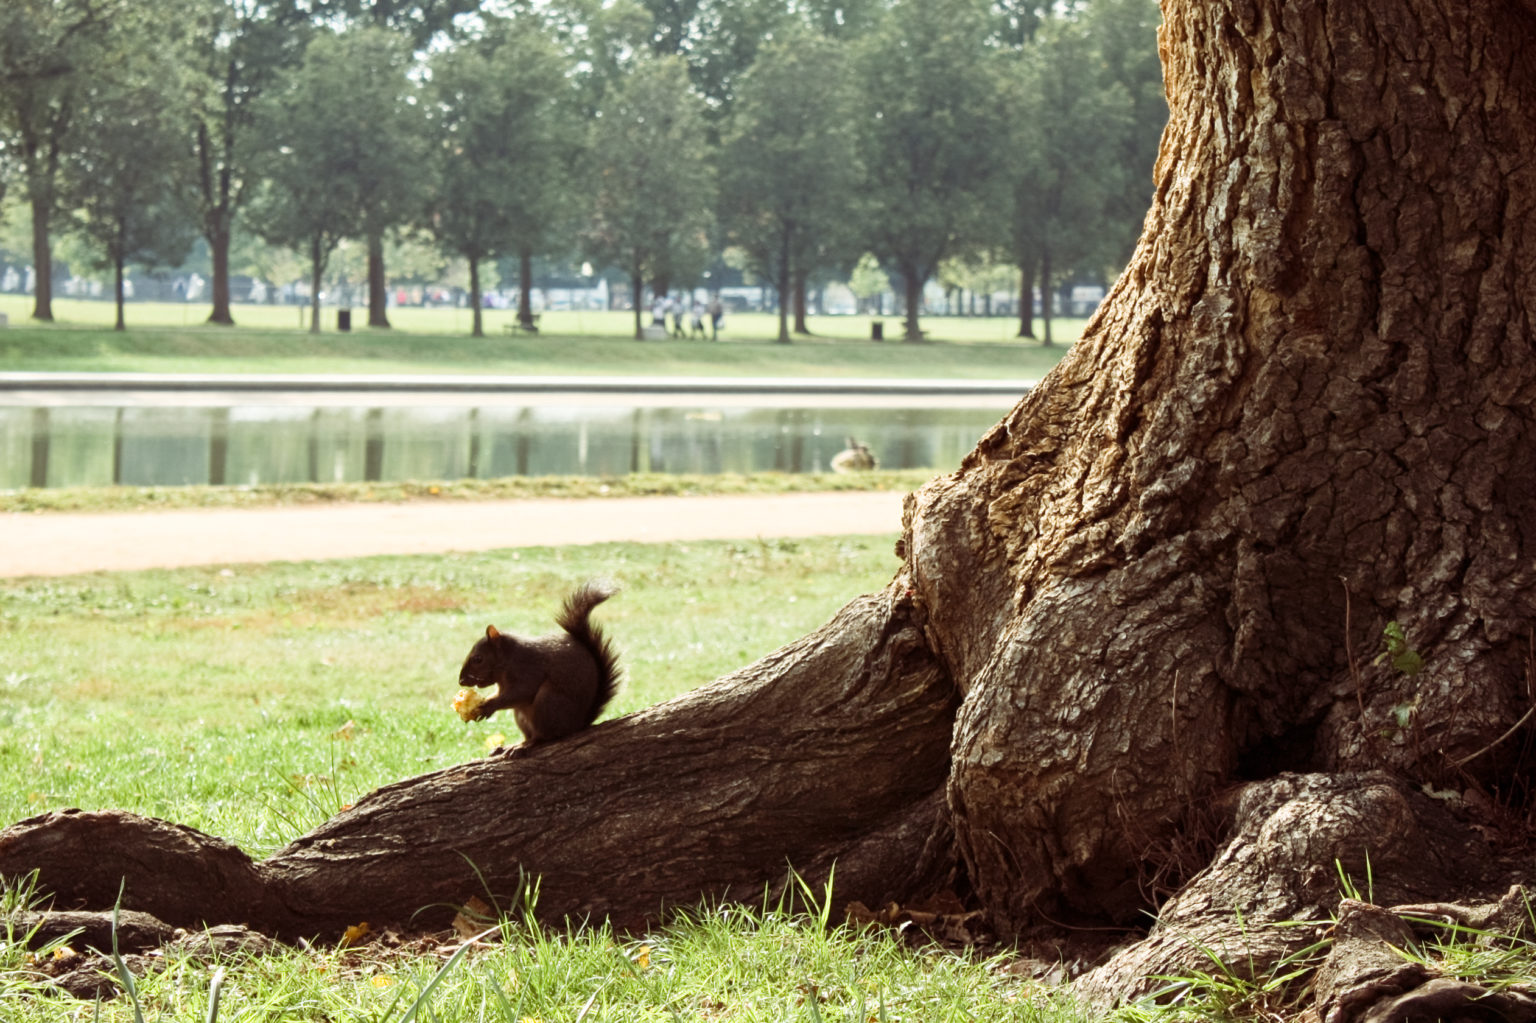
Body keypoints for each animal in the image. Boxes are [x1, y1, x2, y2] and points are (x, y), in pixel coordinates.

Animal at [456, 582, 621, 748]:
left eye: (478, 659)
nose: (461, 681)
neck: (508, 660)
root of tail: (578, 724)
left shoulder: (528, 670)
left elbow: (520, 692)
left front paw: (488, 706)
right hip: (521, 716)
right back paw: (517, 744)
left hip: (548, 703)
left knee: (544, 735)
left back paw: (529, 743)